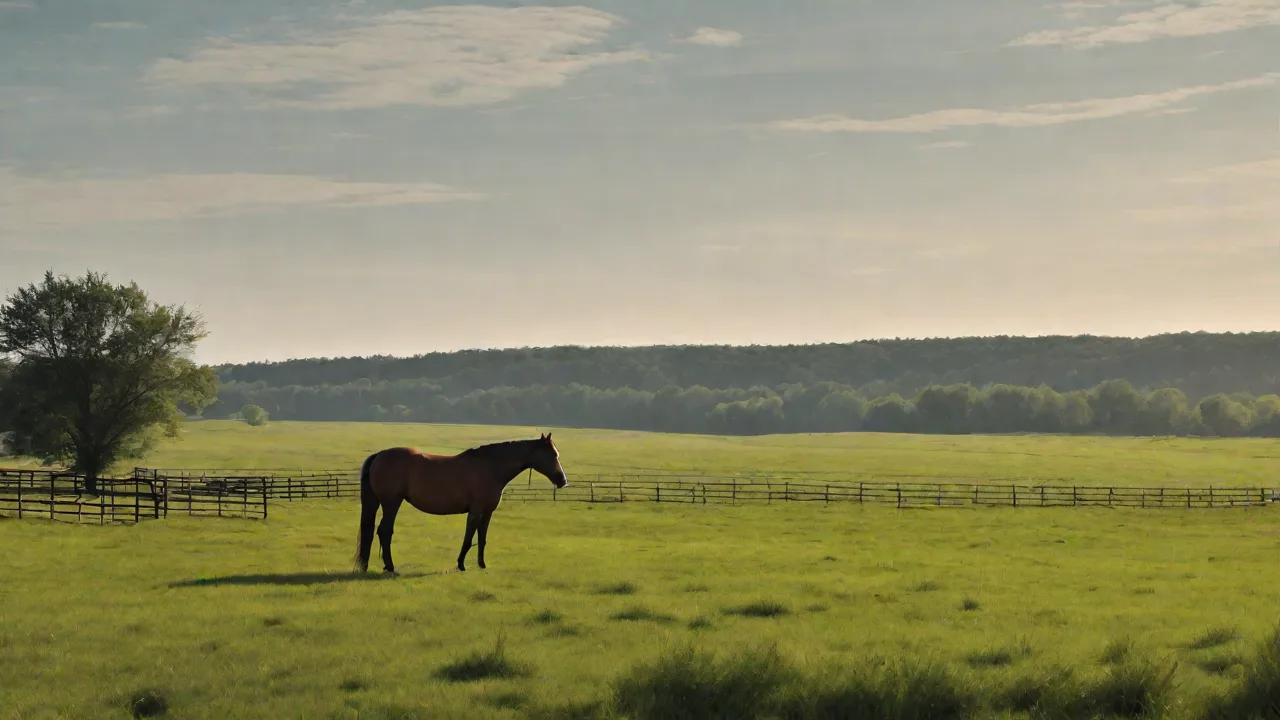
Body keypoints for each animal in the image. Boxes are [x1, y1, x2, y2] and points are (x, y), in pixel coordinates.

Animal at [353, 433, 568, 574]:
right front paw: (461, 564)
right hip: (391, 503)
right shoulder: (475, 511)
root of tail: (379, 455)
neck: (490, 467)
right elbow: (468, 537)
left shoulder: (487, 512)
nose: (562, 481)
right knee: (384, 531)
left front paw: (482, 564)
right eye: (552, 455)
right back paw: (391, 567)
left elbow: (482, 538)